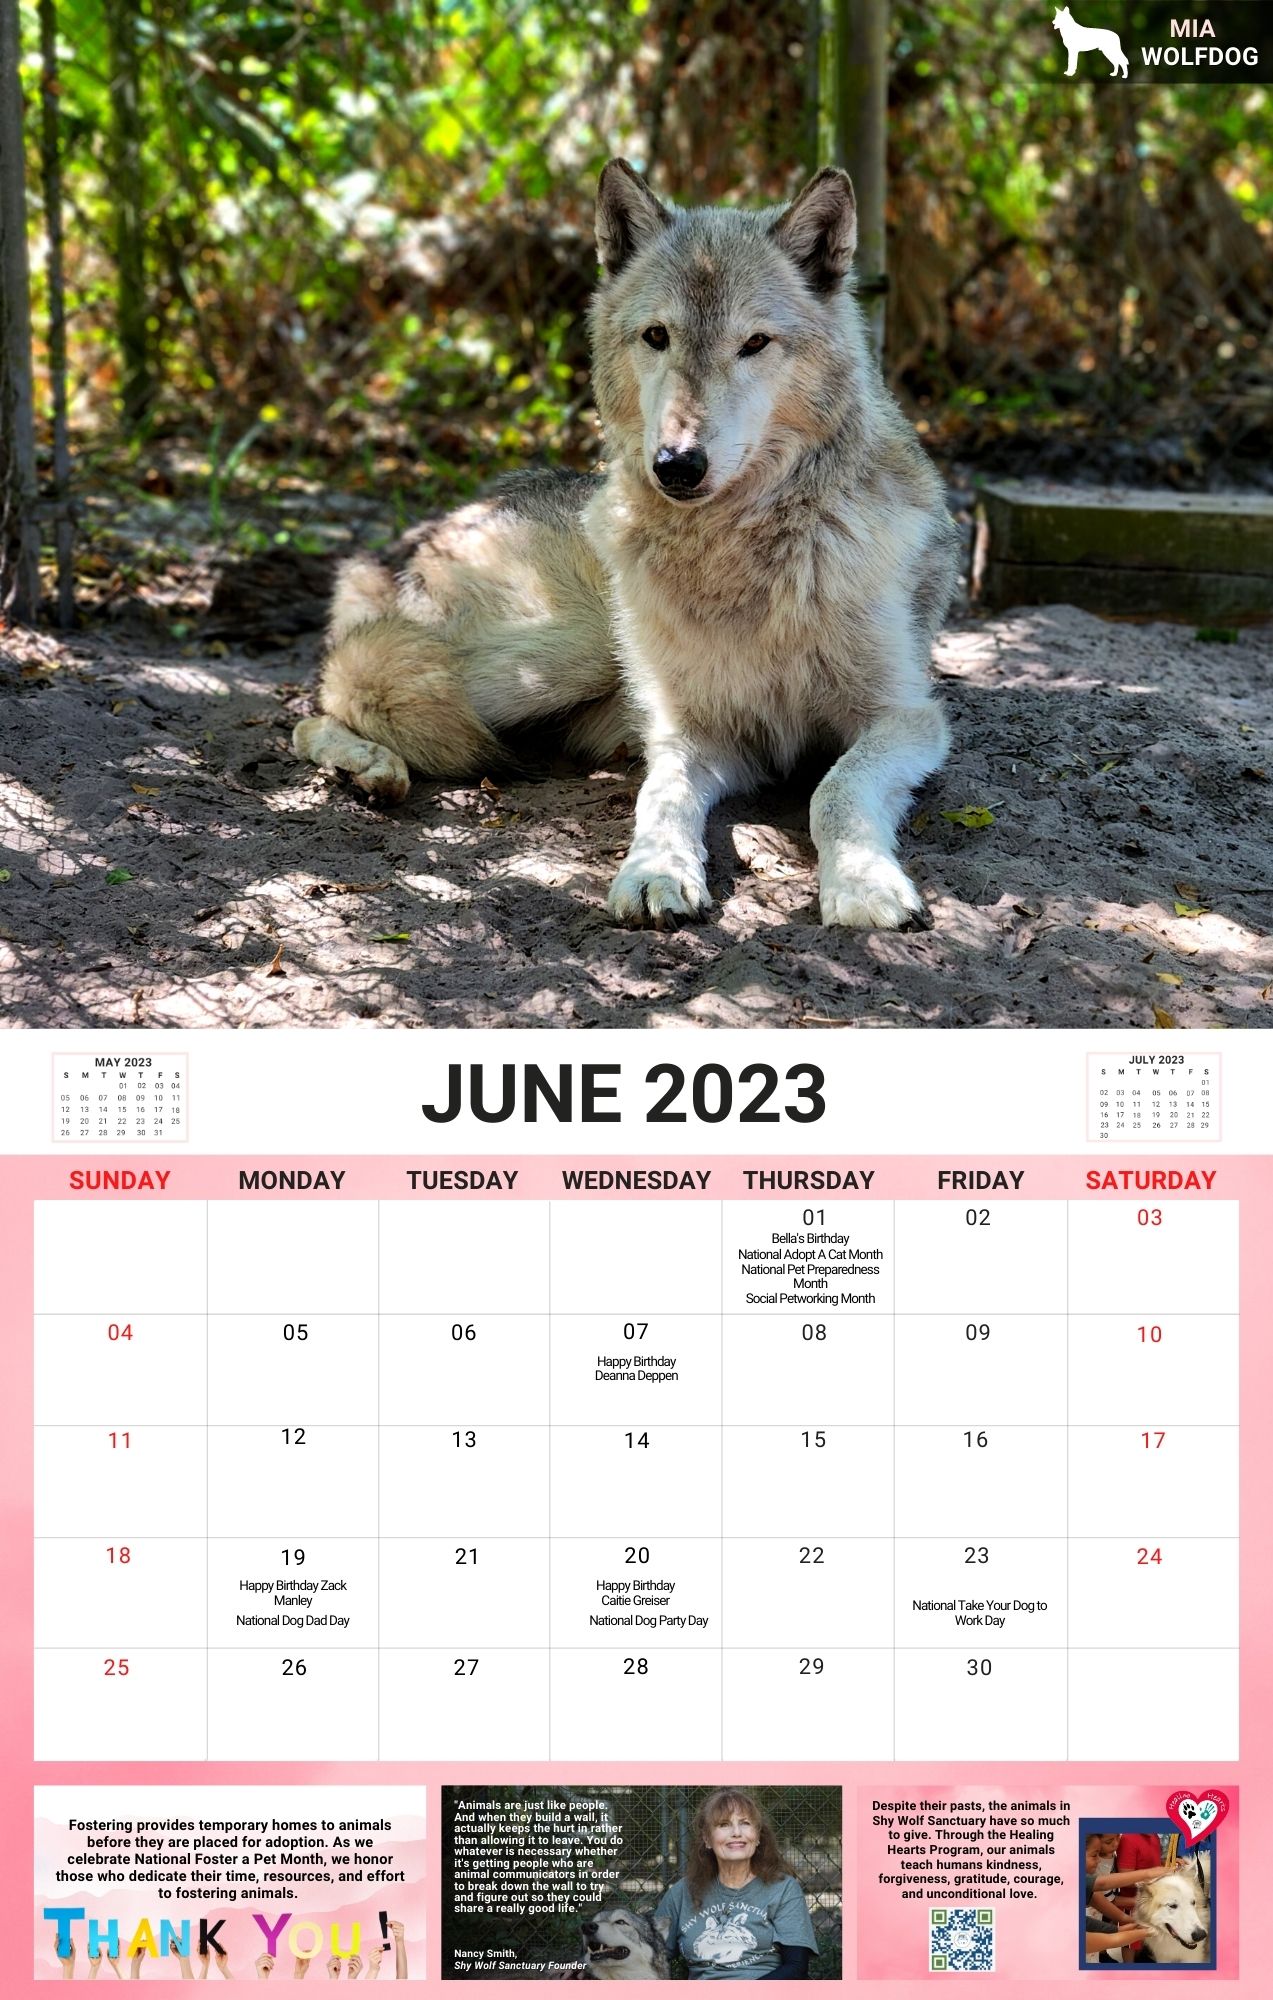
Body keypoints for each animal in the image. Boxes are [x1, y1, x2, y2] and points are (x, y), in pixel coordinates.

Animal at [294, 159, 959, 930]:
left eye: (754, 343)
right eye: (657, 336)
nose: (677, 464)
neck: (739, 551)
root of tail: (396, 550)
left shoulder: (905, 716)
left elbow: (836, 789)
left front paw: (860, 883)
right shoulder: (691, 730)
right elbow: (660, 794)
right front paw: (654, 872)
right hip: (567, 649)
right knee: (325, 700)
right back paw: (374, 768)